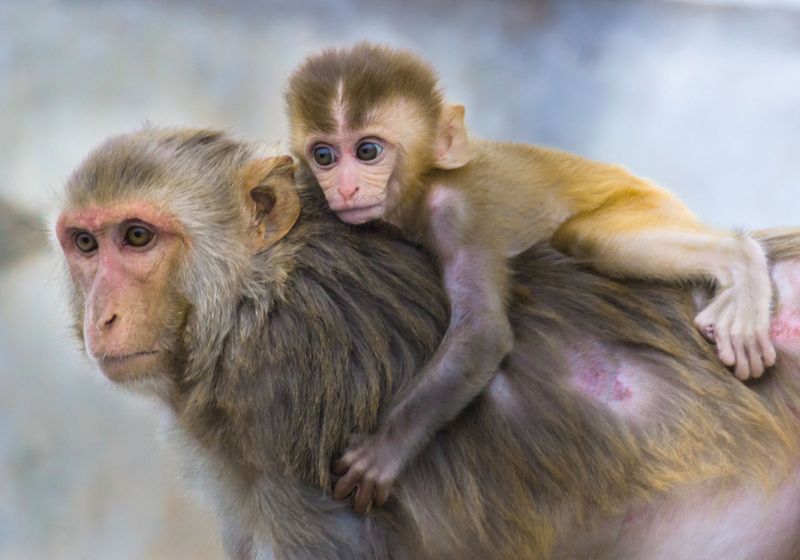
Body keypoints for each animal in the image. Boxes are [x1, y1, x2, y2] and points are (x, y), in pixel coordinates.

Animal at [284, 43, 777, 511]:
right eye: (324, 155)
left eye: (367, 151)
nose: (345, 188)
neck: (421, 187)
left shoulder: (458, 214)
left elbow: (482, 333)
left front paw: (382, 452)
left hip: (646, 203)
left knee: (590, 238)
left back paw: (740, 261)